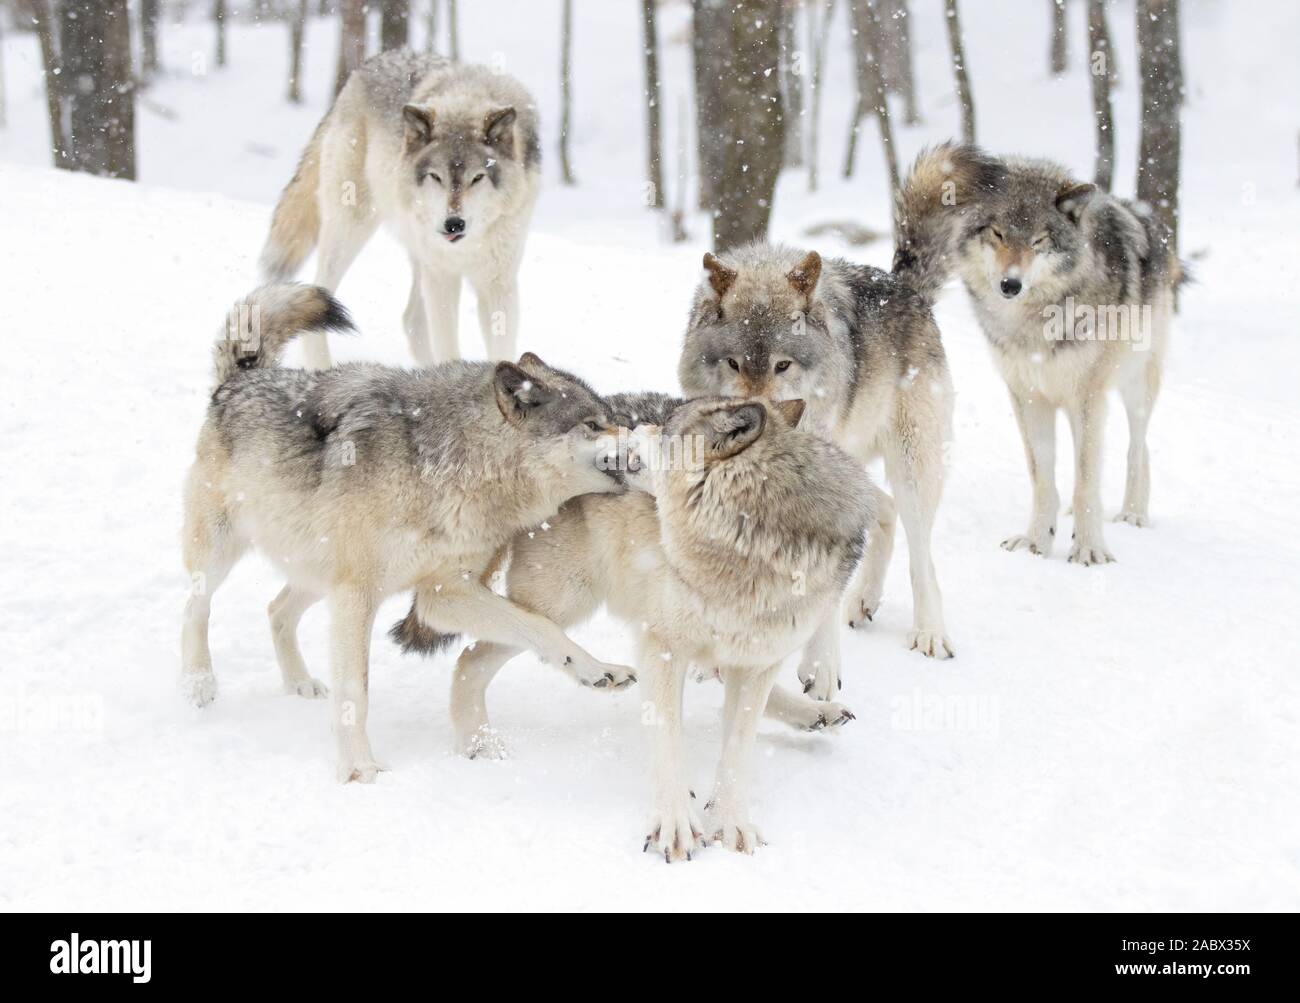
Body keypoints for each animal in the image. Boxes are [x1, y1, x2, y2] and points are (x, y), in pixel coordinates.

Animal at [180, 285, 634, 783]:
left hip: (318, 574)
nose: (648, 435)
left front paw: (596, 670)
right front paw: (359, 770)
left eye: (613, 419)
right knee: (196, 607)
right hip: (222, 552)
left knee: (277, 610)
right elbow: (355, 692)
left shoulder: (442, 594)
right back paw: (199, 684)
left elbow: (540, 626)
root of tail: (241, 379)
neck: (451, 468)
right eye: (593, 425)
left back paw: (299, 683)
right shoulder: (358, 596)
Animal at [260, 50, 541, 368]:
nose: (454, 223)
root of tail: (365, 67)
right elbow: (447, 348)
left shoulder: (497, 282)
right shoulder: (442, 275)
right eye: (436, 176)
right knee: (320, 292)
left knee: (412, 321)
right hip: (351, 227)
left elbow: (501, 347)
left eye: (477, 177)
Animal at [419, 394, 872, 860]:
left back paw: (815, 713)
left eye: (665, 425)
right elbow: (669, 740)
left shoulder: (759, 660)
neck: (750, 545)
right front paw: (675, 825)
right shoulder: (663, 646)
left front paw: (730, 824)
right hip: (563, 604)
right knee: (472, 654)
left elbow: (738, 750)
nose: (627, 427)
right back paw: (481, 742)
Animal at [677, 146, 1004, 688]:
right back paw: (864, 601)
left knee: (921, 554)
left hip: (912, 466)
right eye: (735, 365)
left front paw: (822, 669)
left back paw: (929, 633)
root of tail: (905, 285)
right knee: (882, 512)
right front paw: (713, 661)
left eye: (782, 366)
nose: (759, 422)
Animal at [946, 151, 1183, 564]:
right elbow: (1043, 478)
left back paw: (1133, 515)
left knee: (1137, 449)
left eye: (1038, 240)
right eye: (998, 234)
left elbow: (1087, 480)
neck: (1033, 323)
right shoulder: (1028, 396)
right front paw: (1036, 542)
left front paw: (1089, 549)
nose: (1010, 284)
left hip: (1136, 386)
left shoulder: (1087, 396)